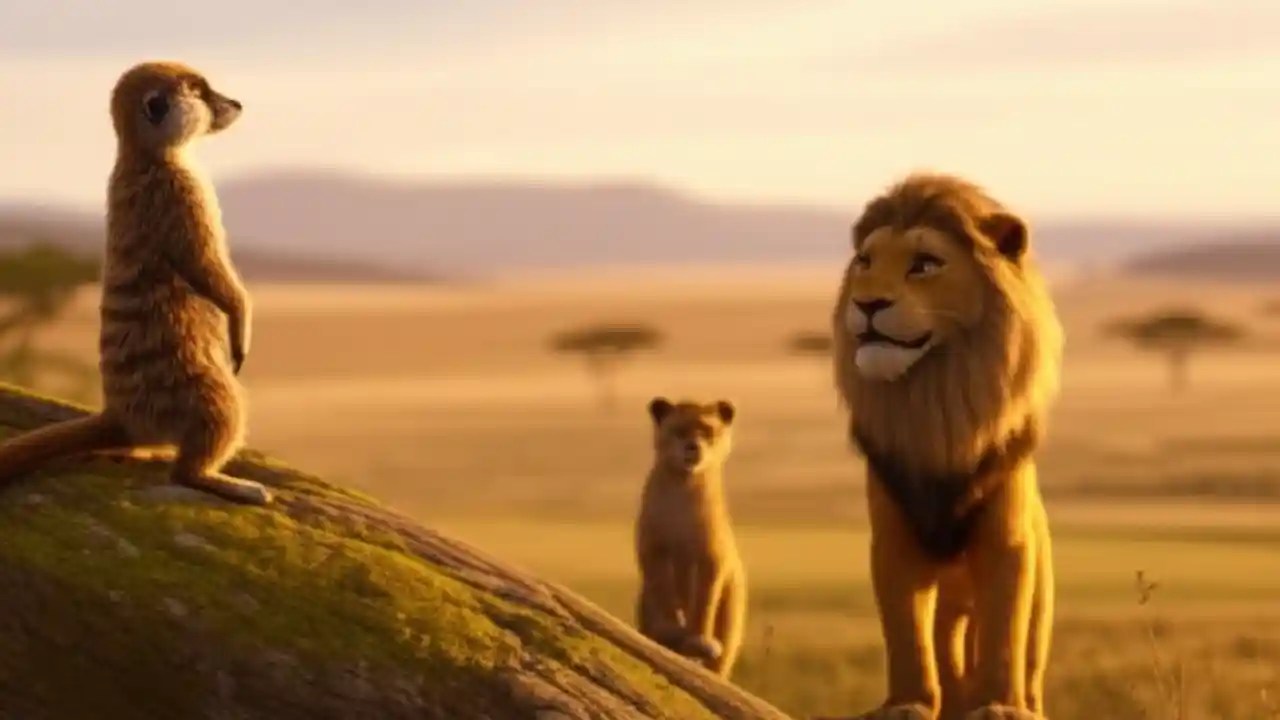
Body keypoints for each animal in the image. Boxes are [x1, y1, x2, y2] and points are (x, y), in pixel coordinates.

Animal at [634, 397, 747, 680]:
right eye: (679, 430)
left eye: (707, 431)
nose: (692, 447)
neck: (683, 486)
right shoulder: (654, 549)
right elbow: (663, 590)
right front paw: (670, 629)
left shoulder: (711, 557)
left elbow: (704, 601)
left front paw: (699, 640)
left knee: (721, 666)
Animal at [815, 173, 1064, 720]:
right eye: (865, 261)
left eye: (925, 264)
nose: (866, 305)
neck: (935, 404)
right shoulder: (892, 537)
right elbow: (905, 631)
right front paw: (907, 704)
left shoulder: (1007, 539)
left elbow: (1003, 634)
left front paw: (999, 705)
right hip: (950, 610)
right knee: (945, 645)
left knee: (1027, 657)